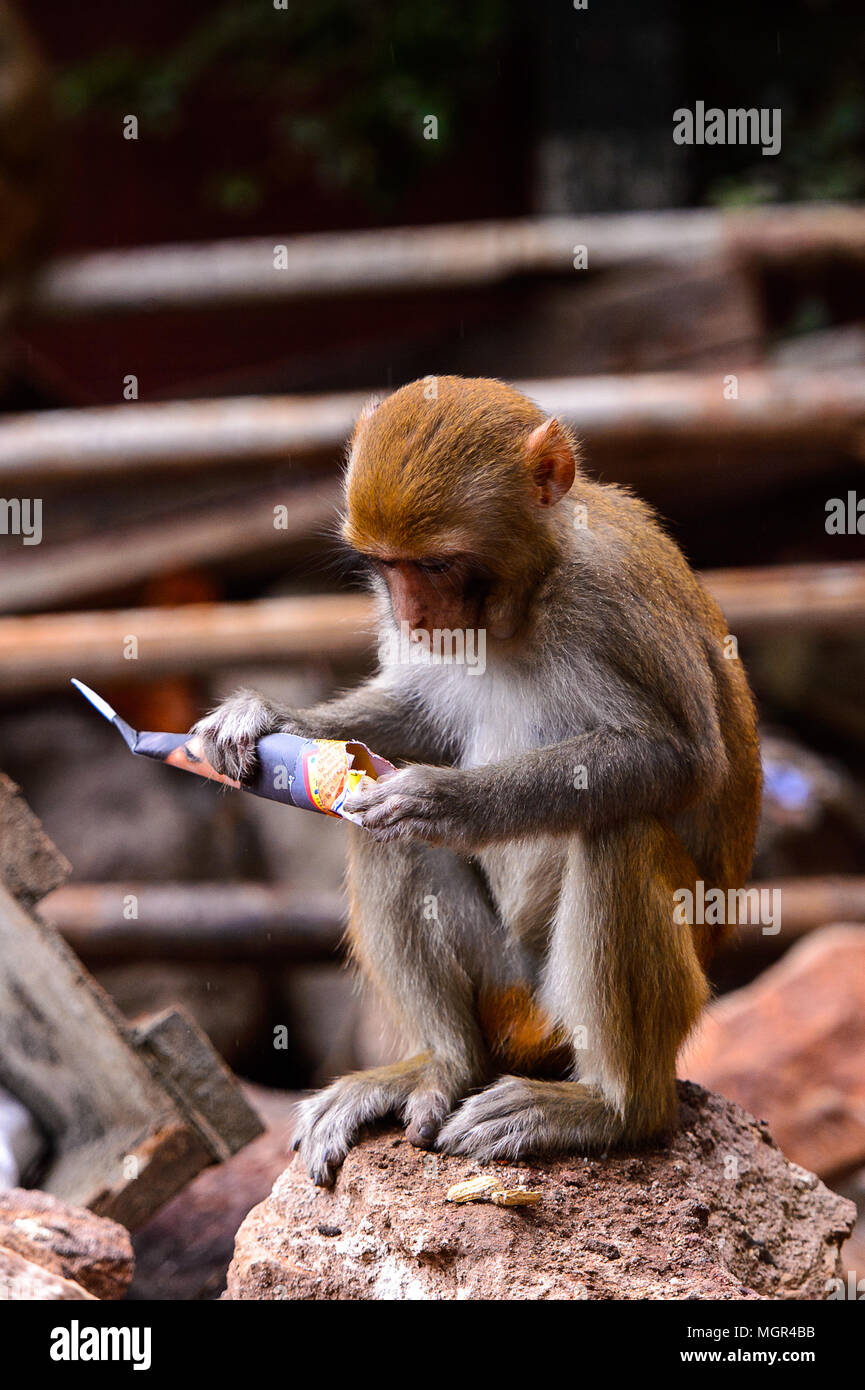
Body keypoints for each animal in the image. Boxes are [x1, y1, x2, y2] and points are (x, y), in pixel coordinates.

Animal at [193, 375, 761, 1186]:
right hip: (505, 987)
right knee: (377, 838)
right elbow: (417, 721)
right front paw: (259, 718)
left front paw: (444, 799)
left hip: (588, 1008)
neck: (525, 596)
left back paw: (611, 1108)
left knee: (618, 830)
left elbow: (678, 757)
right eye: (386, 565)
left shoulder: (610, 598)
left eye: (435, 565)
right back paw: (444, 1064)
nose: (411, 613)